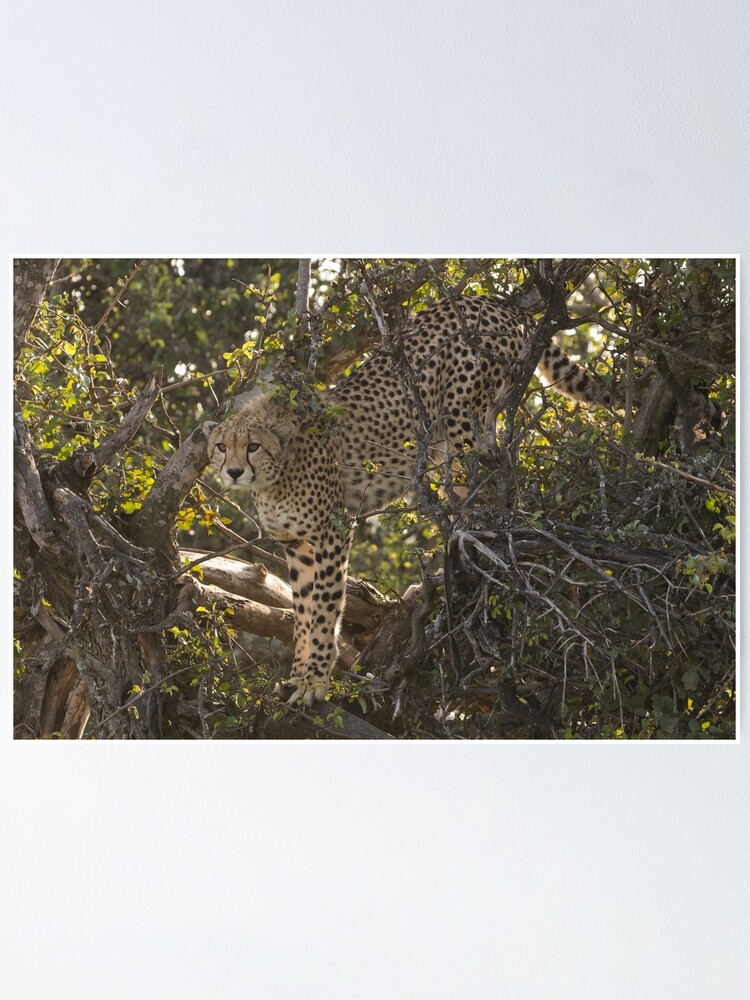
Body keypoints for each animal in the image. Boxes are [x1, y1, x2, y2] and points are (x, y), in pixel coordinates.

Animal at [206, 294, 612, 706]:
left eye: (252, 447)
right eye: (221, 447)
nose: (234, 472)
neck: (274, 475)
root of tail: (486, 298)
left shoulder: (331, 533)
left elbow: (323, 609)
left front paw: (315, 681)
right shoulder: (298, 544)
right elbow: (302, 609)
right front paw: (297, 676)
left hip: (463, 423)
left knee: (492, 488)